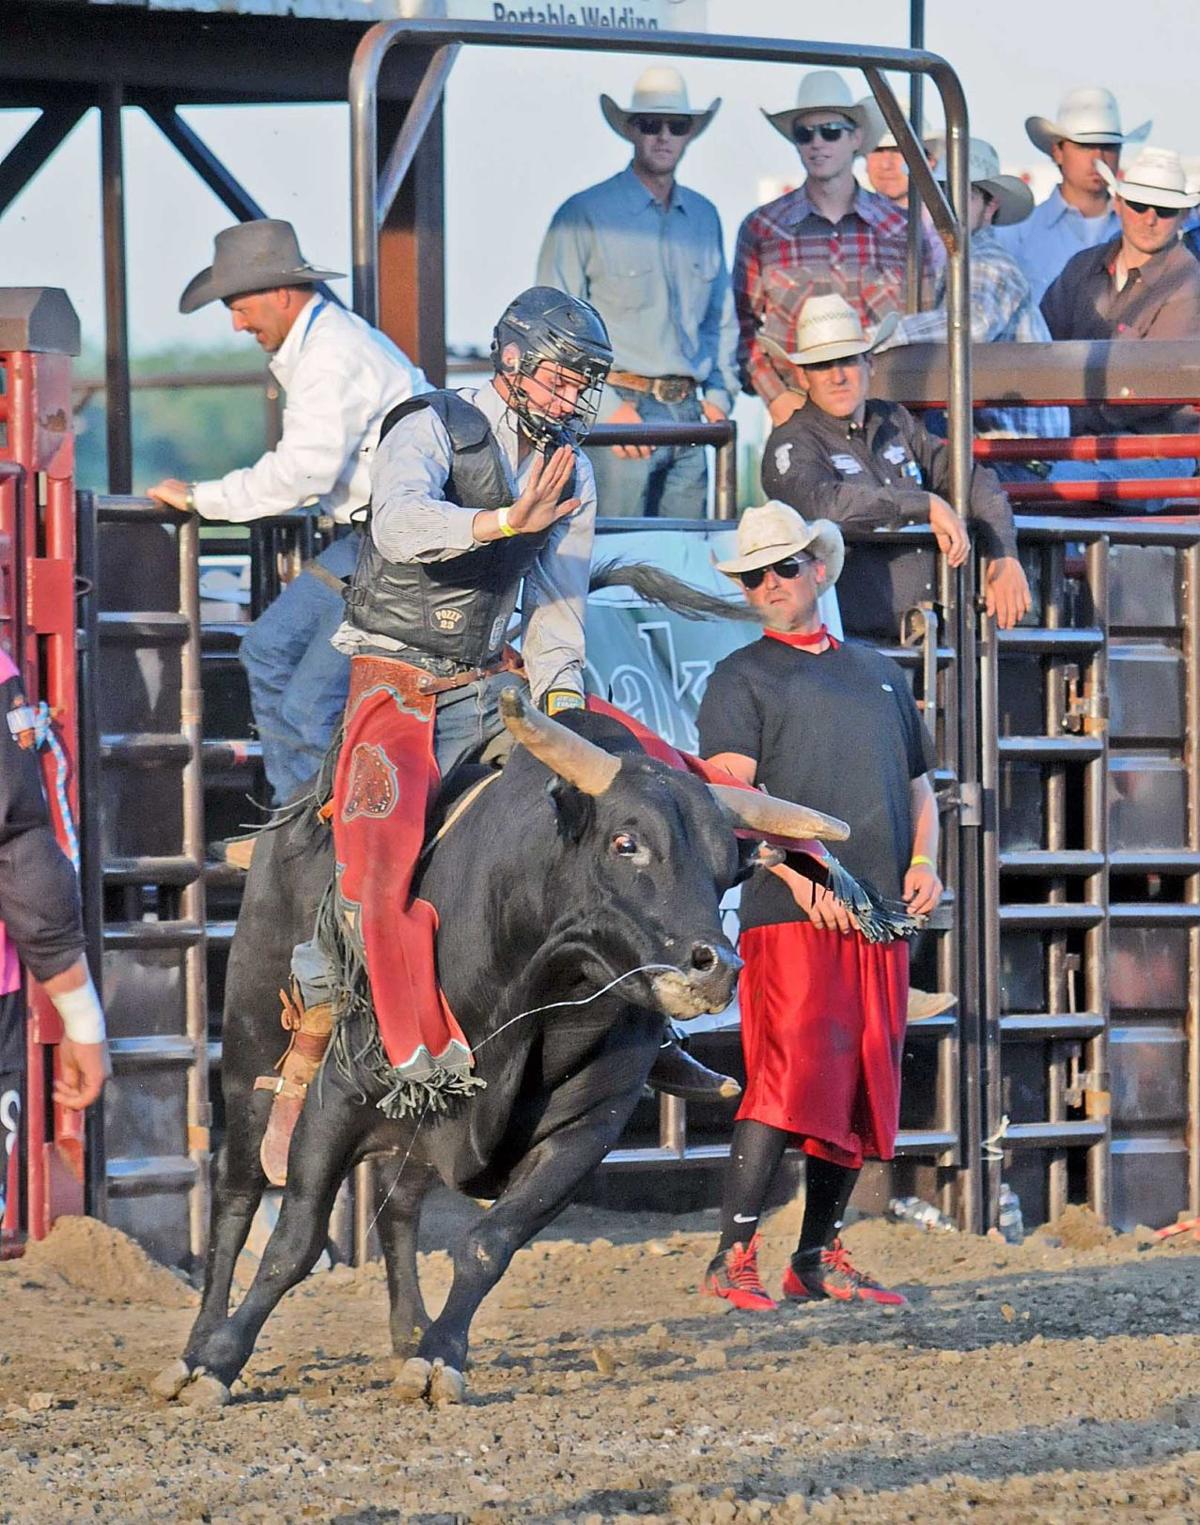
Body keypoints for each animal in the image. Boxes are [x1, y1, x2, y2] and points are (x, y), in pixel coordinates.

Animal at [152, 687, 855, 1410]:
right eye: (627, 841)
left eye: (724, 872)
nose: (715, 968)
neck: (536, 991)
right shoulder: (338, 1096)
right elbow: (294, 1240)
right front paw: (217, 1362)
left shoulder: (586, 1128)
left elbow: (491, 1242)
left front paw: (437, 1356)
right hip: (249, 1056)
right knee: (237, 1193)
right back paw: (196, 1345)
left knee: (399, 1211)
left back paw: (409, 1331)